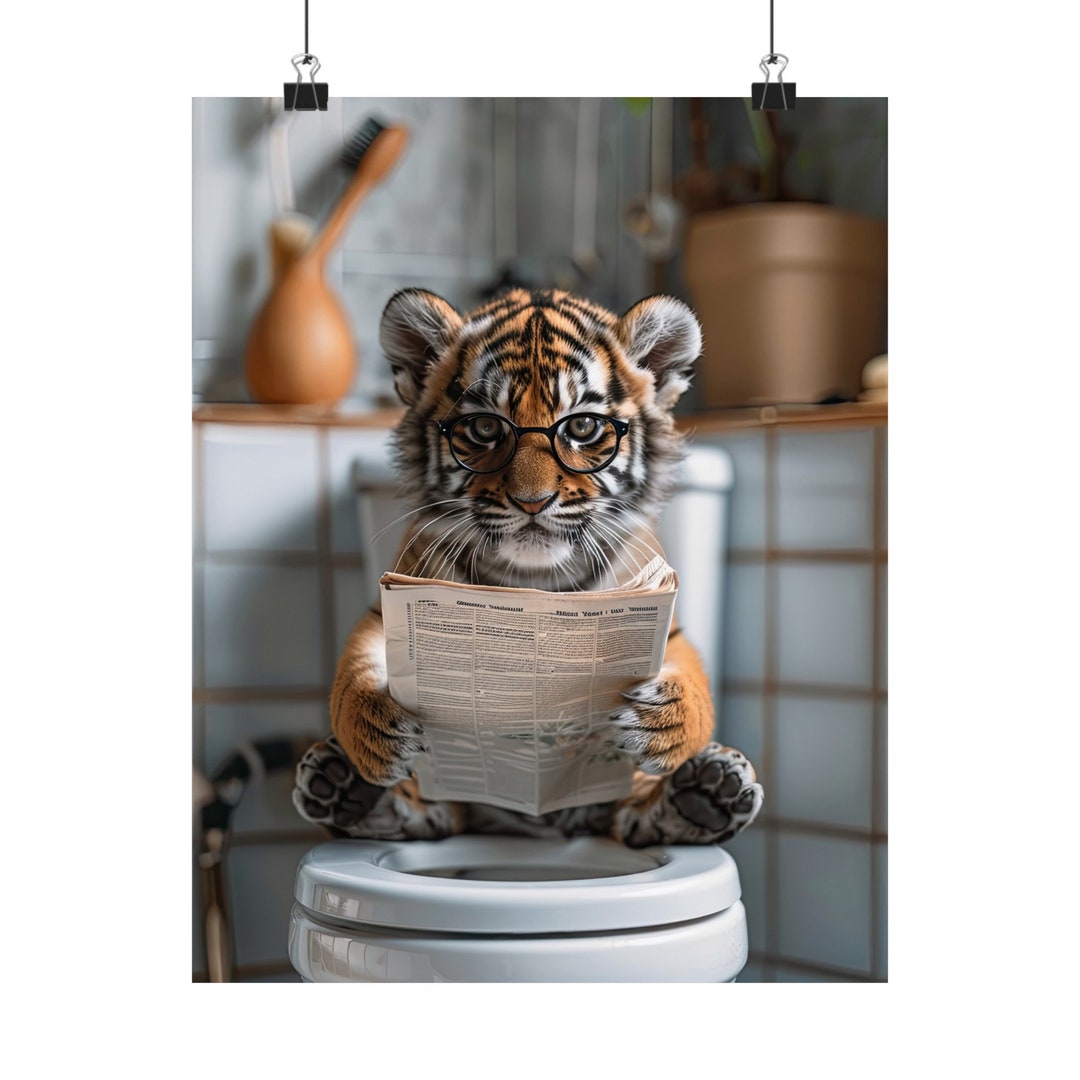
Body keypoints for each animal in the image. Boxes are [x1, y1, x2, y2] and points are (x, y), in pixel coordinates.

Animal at [293, 287, 764, 846]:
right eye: (484, 427)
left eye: (582, 426)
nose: (532, 502)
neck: (535, 582)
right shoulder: (397, 598)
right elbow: (354, 671)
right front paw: (374, 732)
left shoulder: (656, 612)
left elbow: (694, 679)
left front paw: (666, 723)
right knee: (425, 818)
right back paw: (343, 788)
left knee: (637, 820)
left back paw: (709, 793)